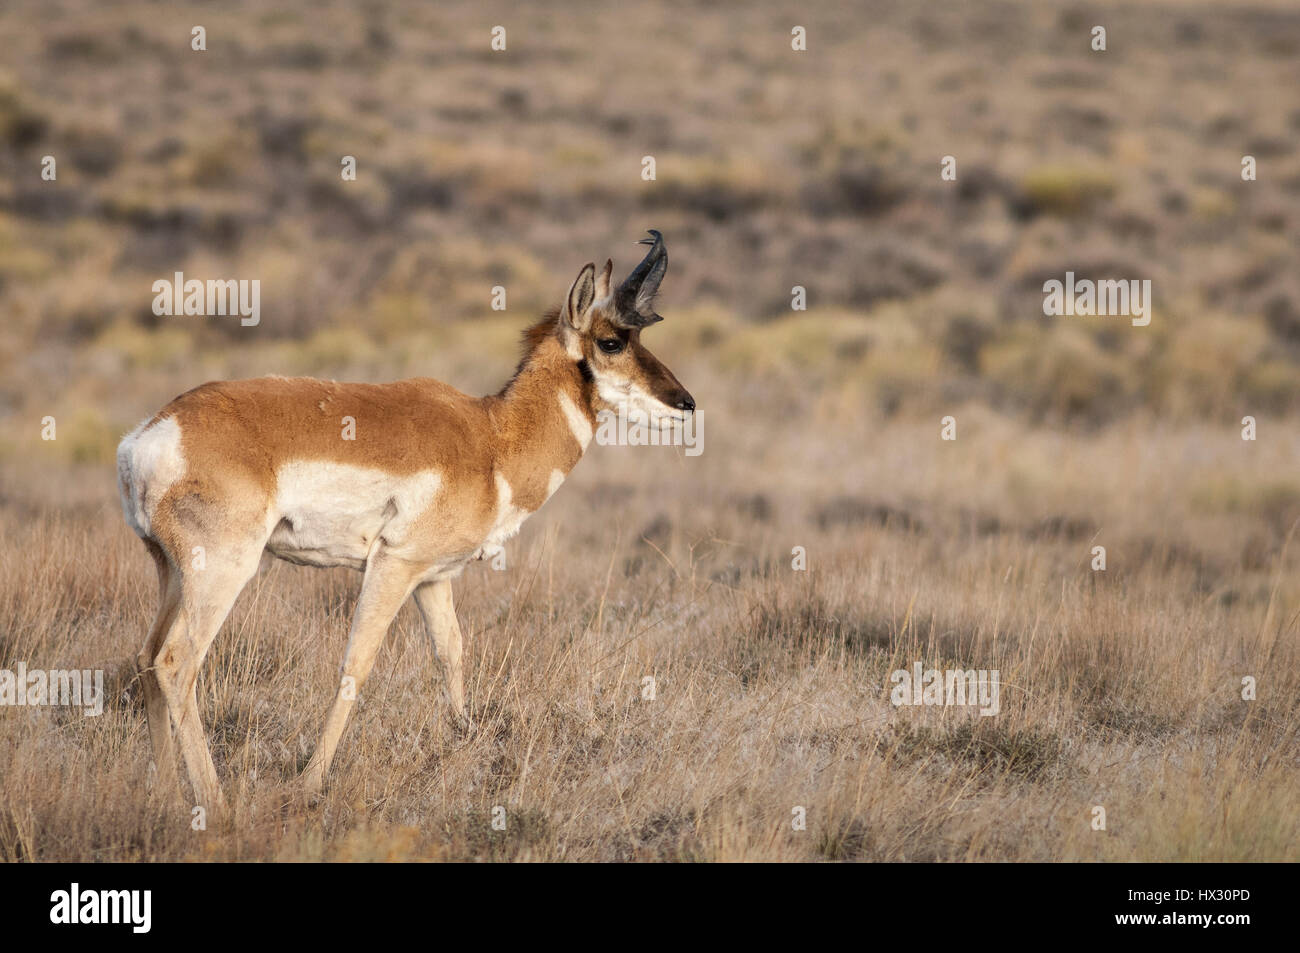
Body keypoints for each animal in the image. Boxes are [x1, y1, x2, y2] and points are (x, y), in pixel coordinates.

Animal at [117, 231, 694, 810]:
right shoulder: (393, 566)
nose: (686, 403)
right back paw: (215, 802)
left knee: (146, 658)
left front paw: (465, 742)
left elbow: (451, 652)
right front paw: (310, 783)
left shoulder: (432, 578)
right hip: (223, 572)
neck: (492, 440)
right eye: (612, 341)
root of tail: (152, 434)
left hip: (172, 573)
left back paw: (166, 795)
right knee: (177, 663)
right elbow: (356, 666)